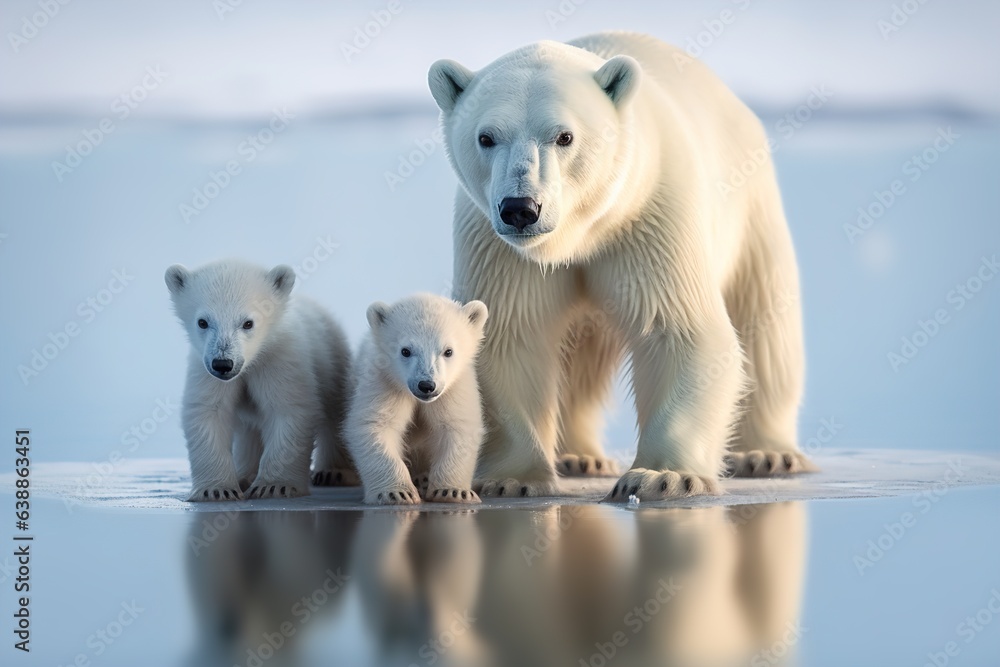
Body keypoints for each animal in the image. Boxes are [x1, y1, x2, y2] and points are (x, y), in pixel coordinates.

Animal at [165, 259, 355, 501]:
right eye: (202, 322)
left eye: (248, 323)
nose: (223, 364)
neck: (253, 359)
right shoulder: (204, 369)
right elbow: (208, 412)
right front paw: (217, 490)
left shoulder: (279, 360)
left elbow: (288, 409)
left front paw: (274, 486)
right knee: (249, 430)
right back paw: (244, 475)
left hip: (333, 358)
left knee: (335, 412)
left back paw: (332, 472)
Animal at [345, 293, 488, 505]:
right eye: (405, 350)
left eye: (448, 351)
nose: (426, 385)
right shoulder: (384, 381)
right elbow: (375, 425)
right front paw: (396, 493)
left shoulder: (454, 388)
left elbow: (457, 426)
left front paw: (452, 491)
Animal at [427, 31, 814, 501]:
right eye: (486, 137)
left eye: (564, 136)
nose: (521, 208)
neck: (580, 236)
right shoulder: (497, 246)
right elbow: (508, 335)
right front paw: (511, 479)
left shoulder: (651, 218)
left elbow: (677, 330)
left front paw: (663, 476)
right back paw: (579, 456)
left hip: (752, 209)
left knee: (766, 325)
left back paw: (767, 453)